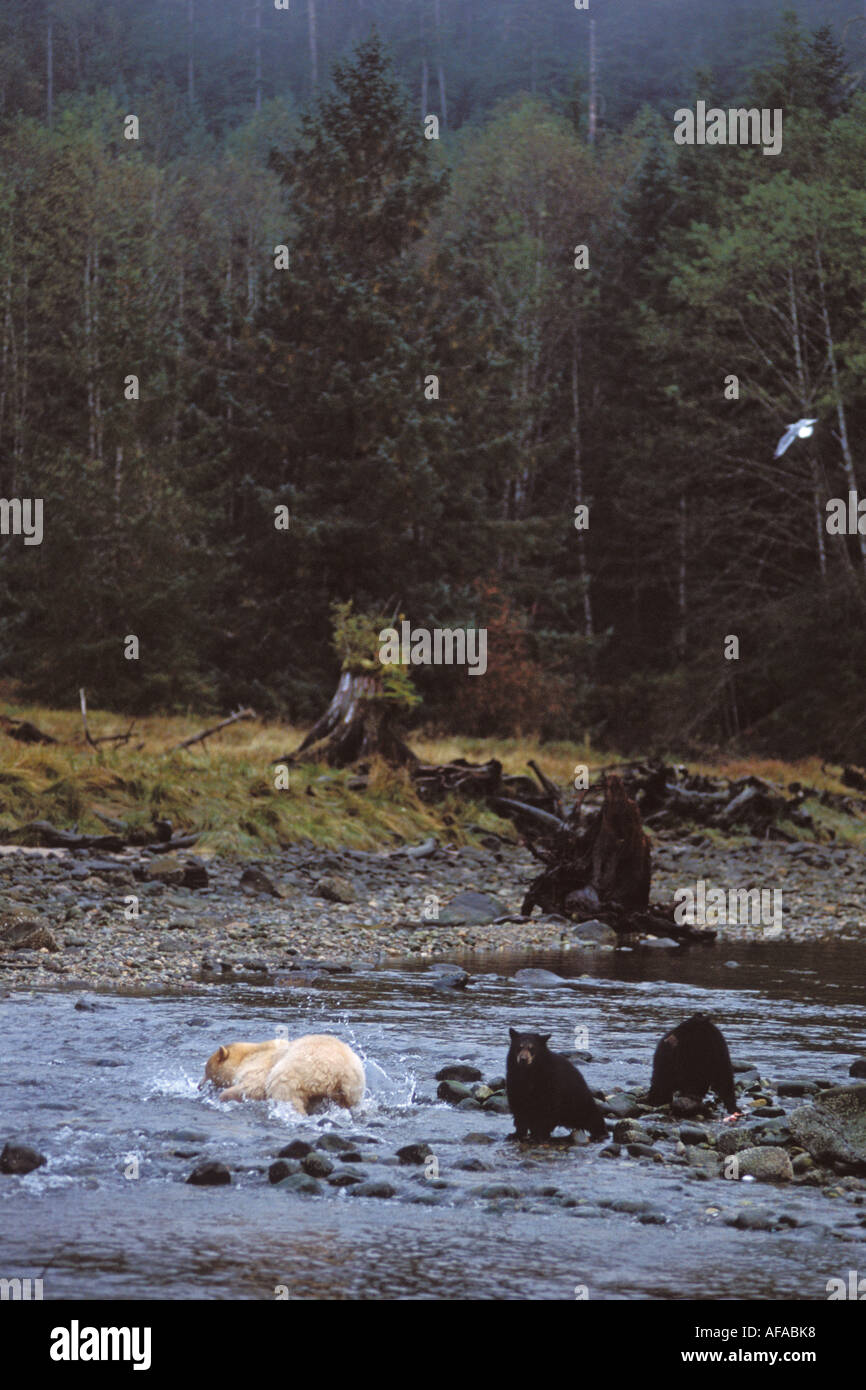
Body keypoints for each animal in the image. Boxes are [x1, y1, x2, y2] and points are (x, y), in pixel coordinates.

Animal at [201, 1034, 365, 1113]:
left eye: (206, 1072)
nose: (199, 1086)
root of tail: (342, 1073)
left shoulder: (258, 1066)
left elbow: (253, 1087)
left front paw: (224, 1096)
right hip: (353, 1089)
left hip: (297, 1071)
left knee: (286, 1093)